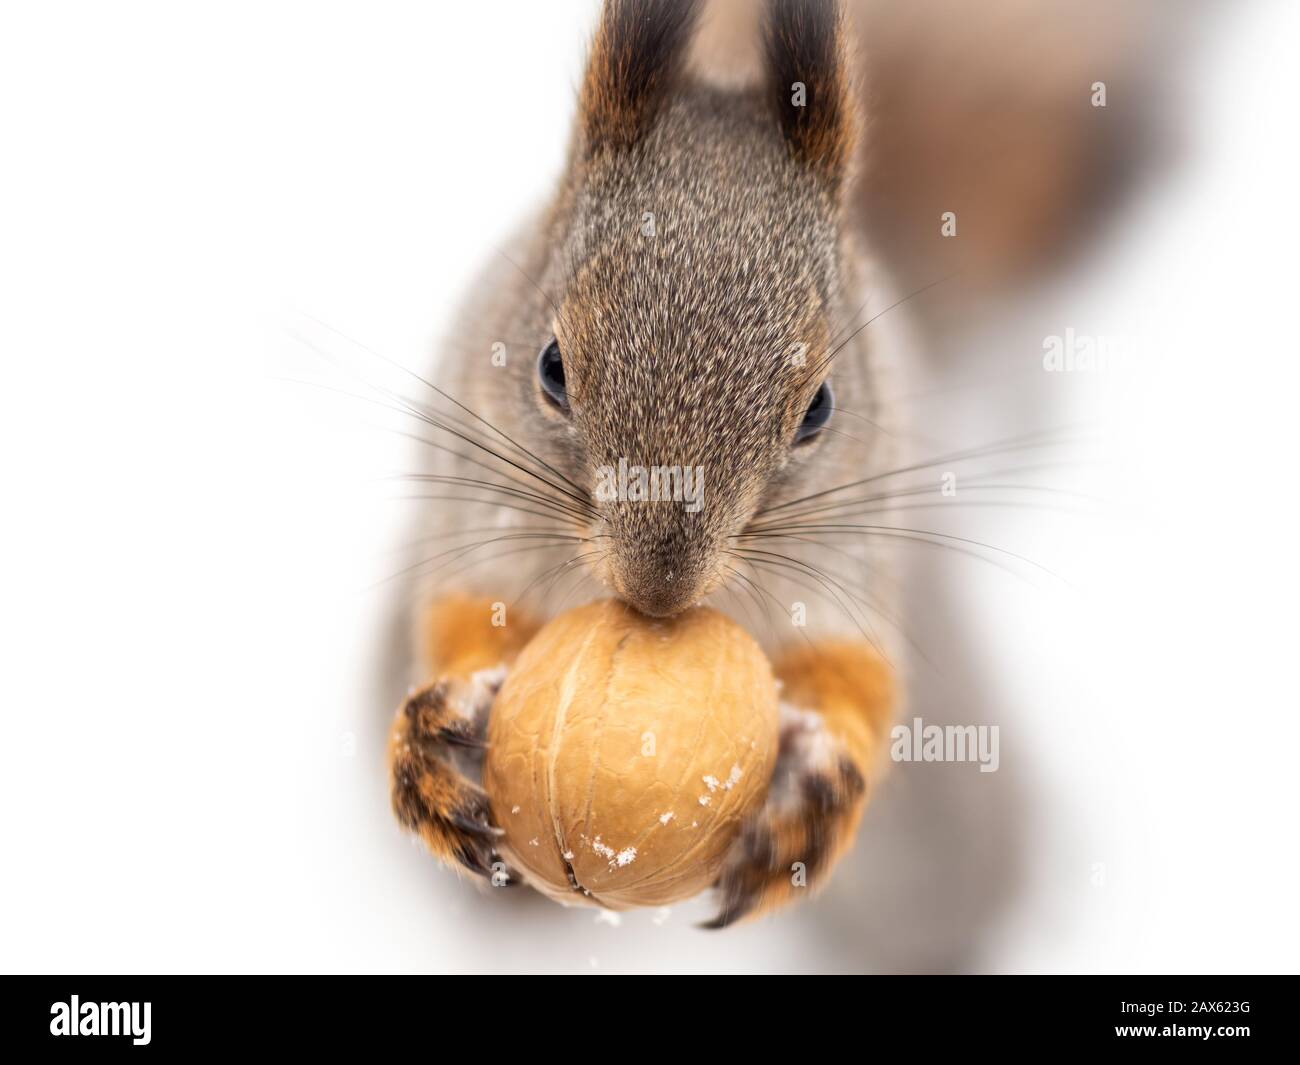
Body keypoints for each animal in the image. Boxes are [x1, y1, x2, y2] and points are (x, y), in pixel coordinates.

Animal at [385, 0, 1167, 926]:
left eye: (819, 408)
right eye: (550, 368)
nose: (658, 588)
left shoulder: (854, 567)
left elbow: (856, 680)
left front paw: (813, 799)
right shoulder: (481, 515)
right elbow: (461, 615)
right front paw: (435, 738)